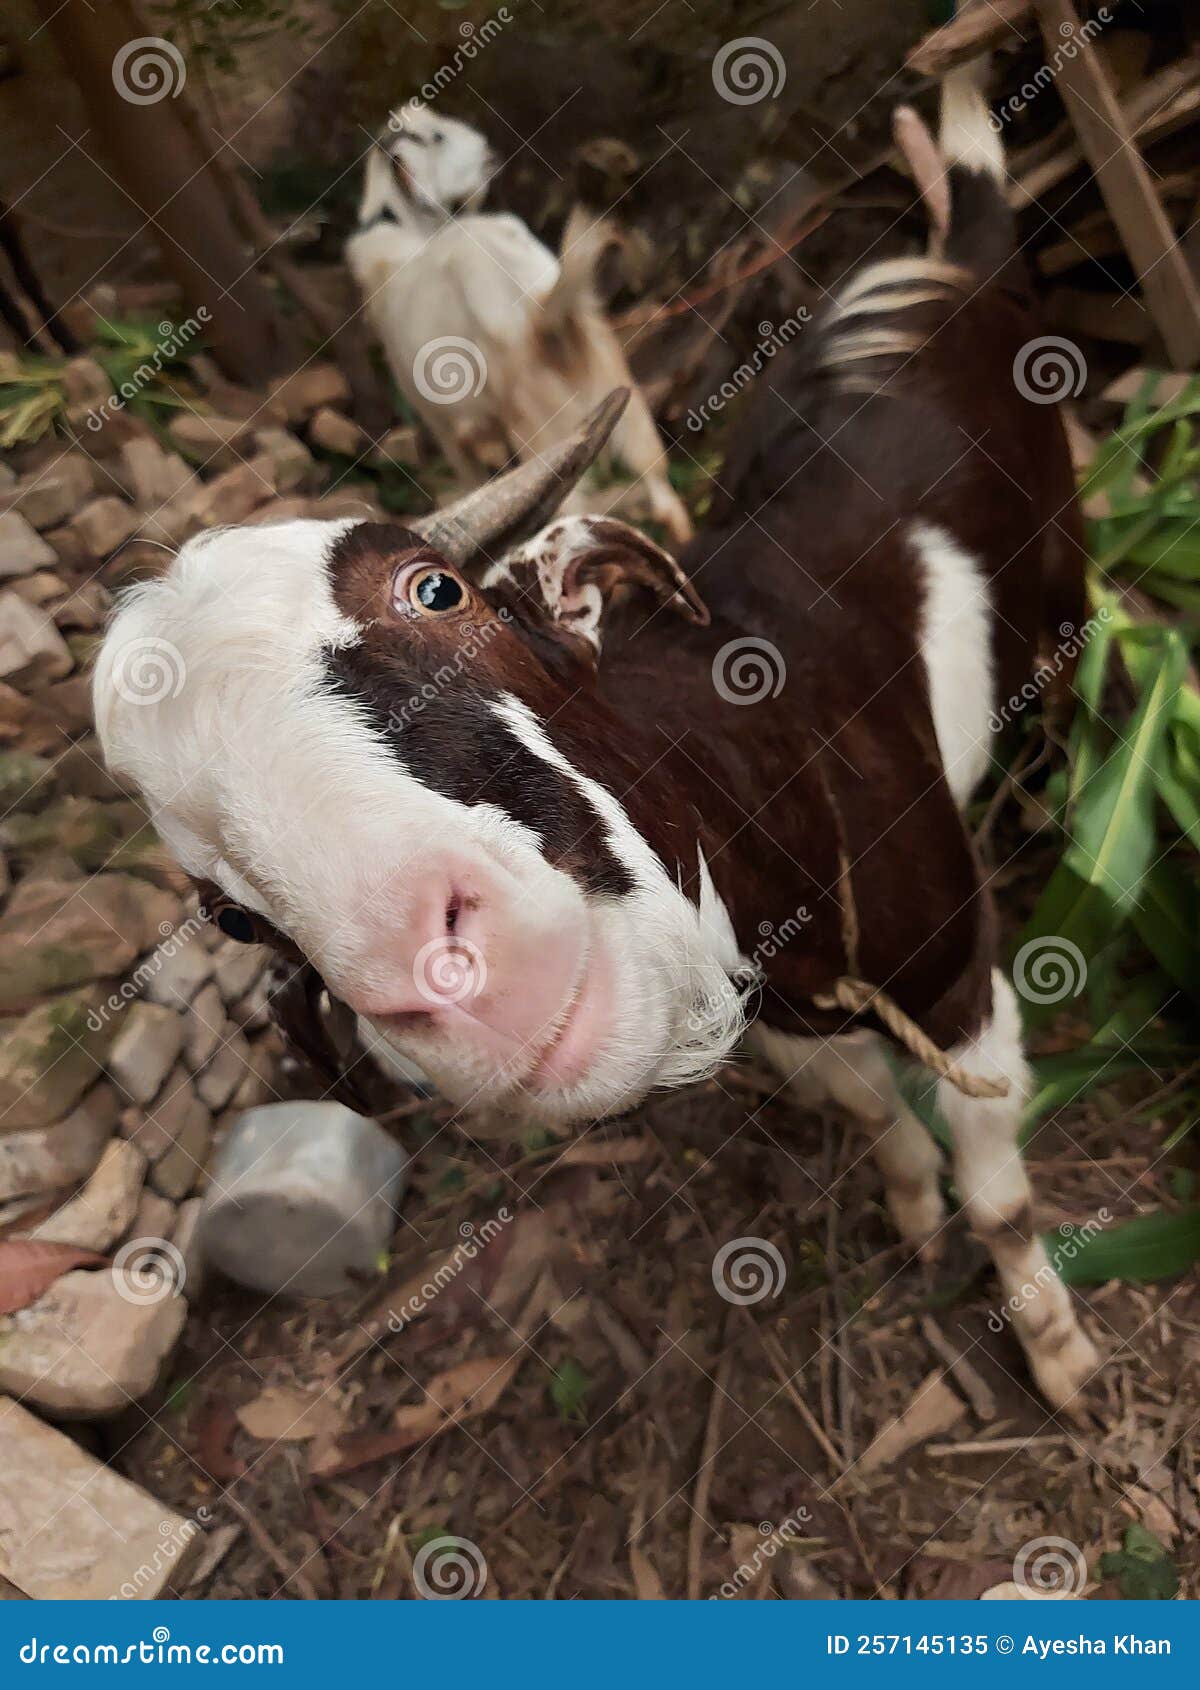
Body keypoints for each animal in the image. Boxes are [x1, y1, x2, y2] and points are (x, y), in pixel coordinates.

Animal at [344, 103, 693, 546]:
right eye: (437, 136)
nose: (489, 152)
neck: (403, 229)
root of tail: (539, 312)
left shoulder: (440, 424)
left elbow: (472, 484)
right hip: (613, 385)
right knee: (655, 475)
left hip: (540, 428)